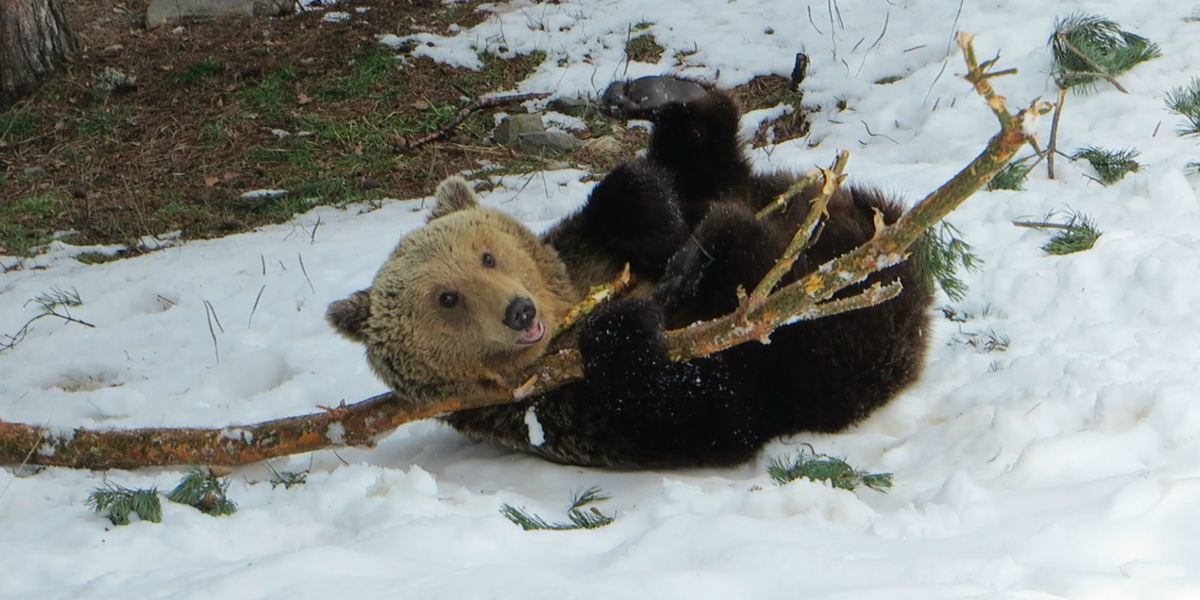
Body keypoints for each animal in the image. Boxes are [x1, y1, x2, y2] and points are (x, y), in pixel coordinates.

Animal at [327, 75, 932, 469]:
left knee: (712, 164)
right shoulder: (547, 410)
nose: (518, 310)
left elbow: (641, 195)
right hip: (832, 355)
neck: (574, 296)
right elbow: (694, 409)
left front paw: (656, 228)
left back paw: (656, 99)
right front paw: (636, 315)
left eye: (487, 256)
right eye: (446, 298)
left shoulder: (586, 240)